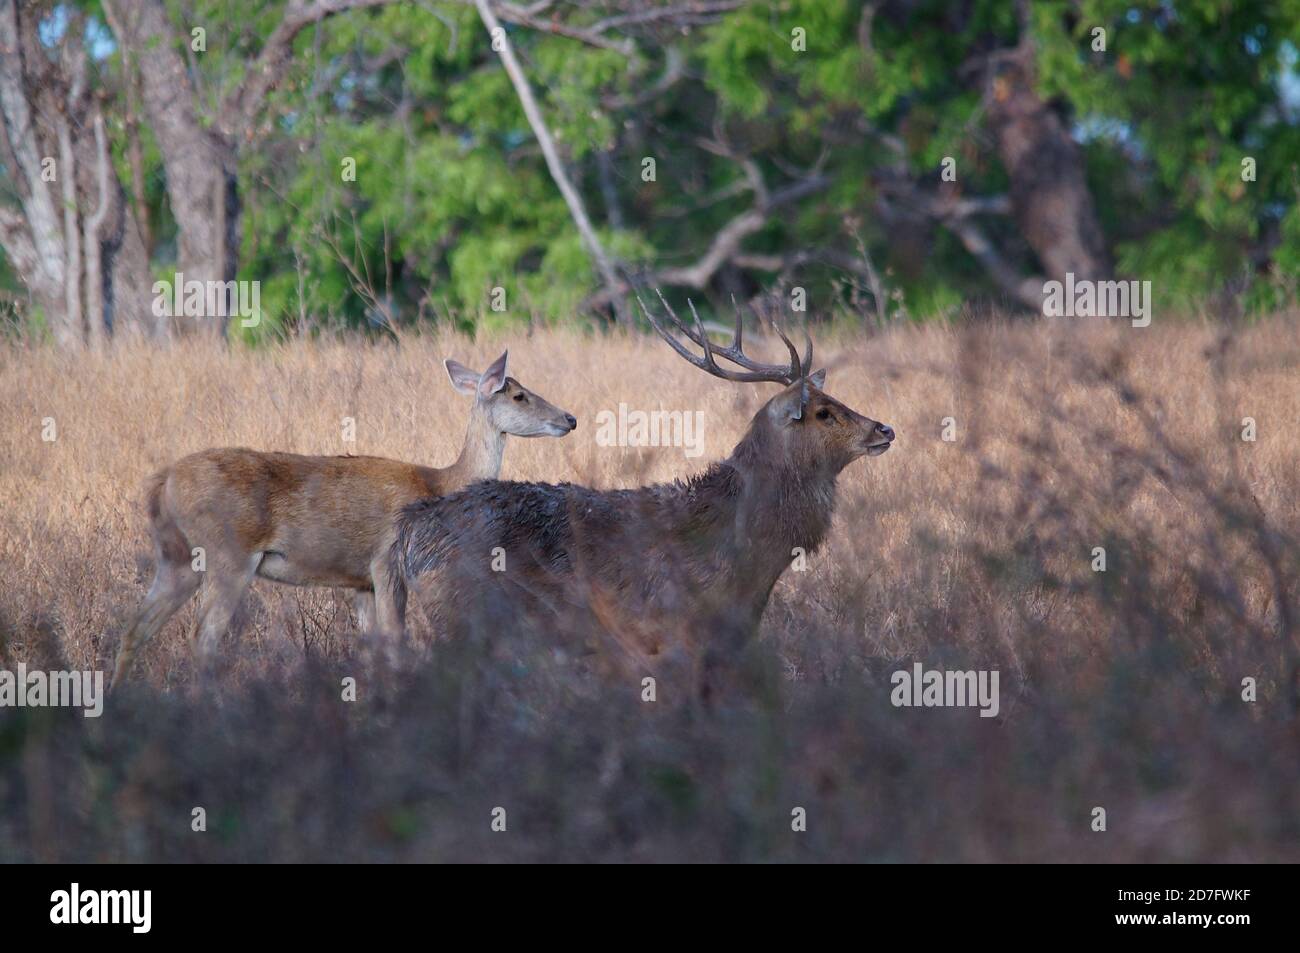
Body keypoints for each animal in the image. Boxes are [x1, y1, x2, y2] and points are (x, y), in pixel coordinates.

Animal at [110, 351, 576, 688]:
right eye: (518, 395)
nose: (570, 418)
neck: (441, 483)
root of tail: (162, 481)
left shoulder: (360, 582)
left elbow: (370, 650)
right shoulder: (387, 560)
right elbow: (395, 641)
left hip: (177, 557)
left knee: (136, 628)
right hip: (229, 553)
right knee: (203, 638)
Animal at [390, 295, 895, 699]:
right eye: (823, 412)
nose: (884, 429)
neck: (744, 553)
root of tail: (411, 530)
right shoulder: (674, 634)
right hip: (459, 618)